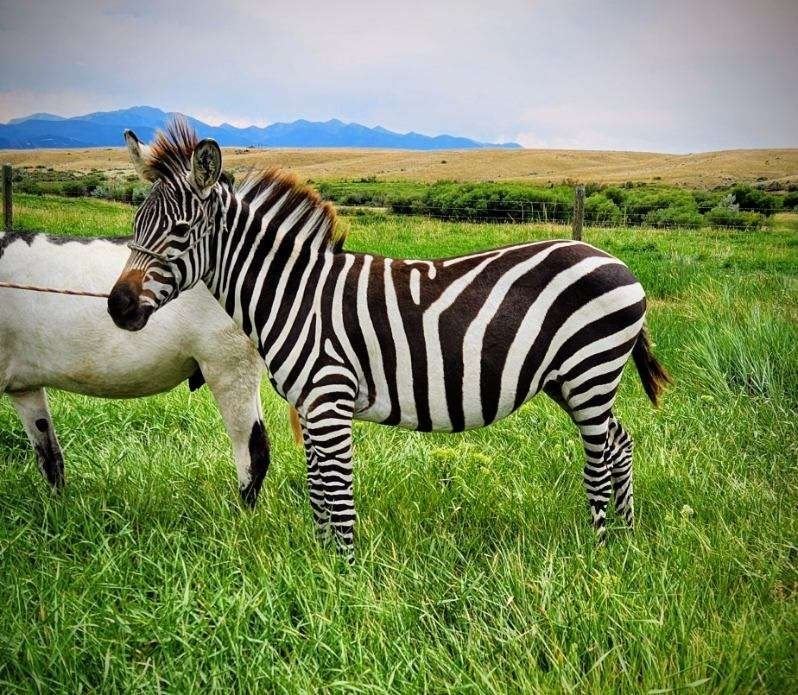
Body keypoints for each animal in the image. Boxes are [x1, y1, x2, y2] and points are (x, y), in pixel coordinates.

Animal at [108, 120, 670, 559]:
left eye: (182, 232)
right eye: (136, 222)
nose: (117, 306)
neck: (295, 293)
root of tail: (616, 261)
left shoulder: (329, 399)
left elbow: (337, 496)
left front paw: (346, 579)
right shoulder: (310, 406)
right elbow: (317, 493)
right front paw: (320, 568)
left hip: (590, 371)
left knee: (601, 455)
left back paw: (598, 548)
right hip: (569, 380)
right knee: (620, 443)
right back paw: (625, 539)